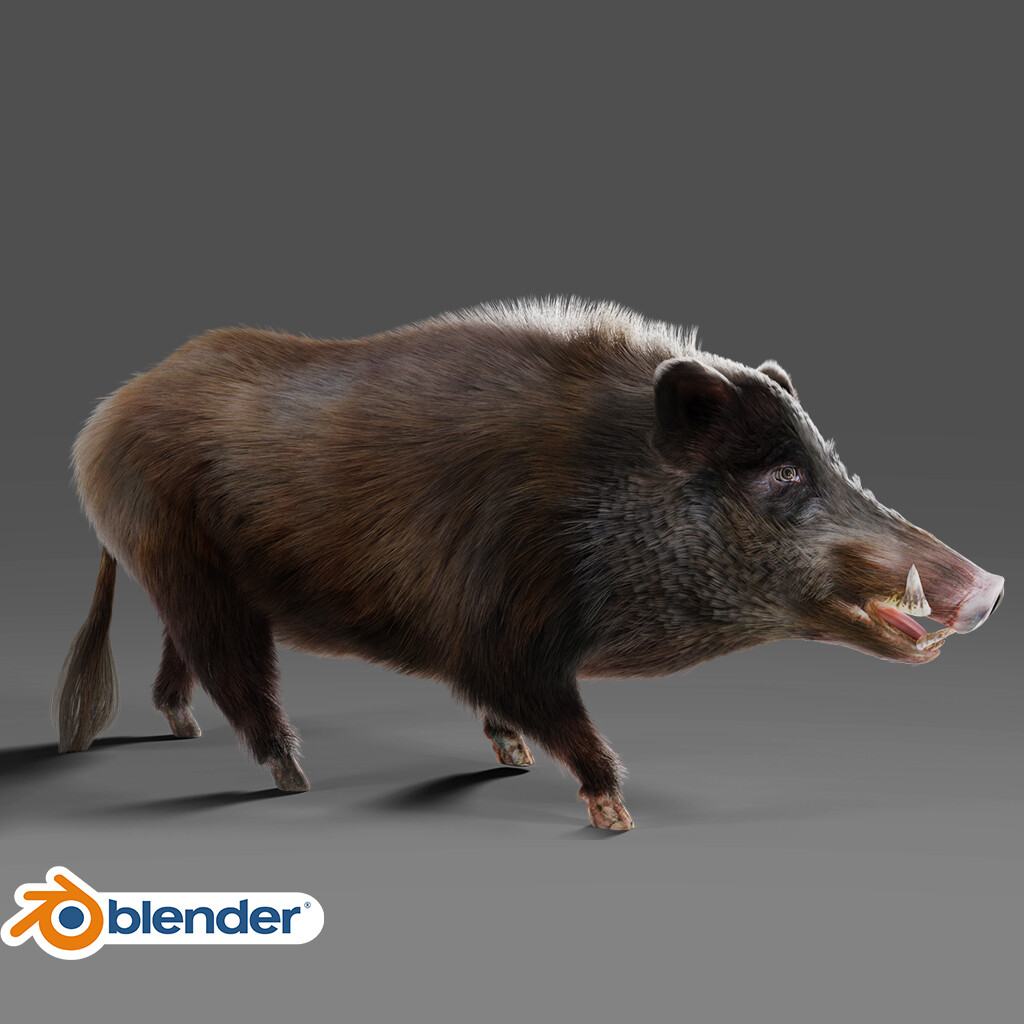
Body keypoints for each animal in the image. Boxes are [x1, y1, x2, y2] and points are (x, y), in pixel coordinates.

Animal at [54, 298, 1005, 829]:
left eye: (828, 459)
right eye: (779, 475)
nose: (991, 584)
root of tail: (103, 418)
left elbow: (507, 712)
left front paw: (509, 757)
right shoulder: (500, 632)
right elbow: (551, 710)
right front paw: (616, 818)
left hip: (190, 576)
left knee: (183, 659)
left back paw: (185, 729)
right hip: (189, 567)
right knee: (234, 671)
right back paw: (292, 778)